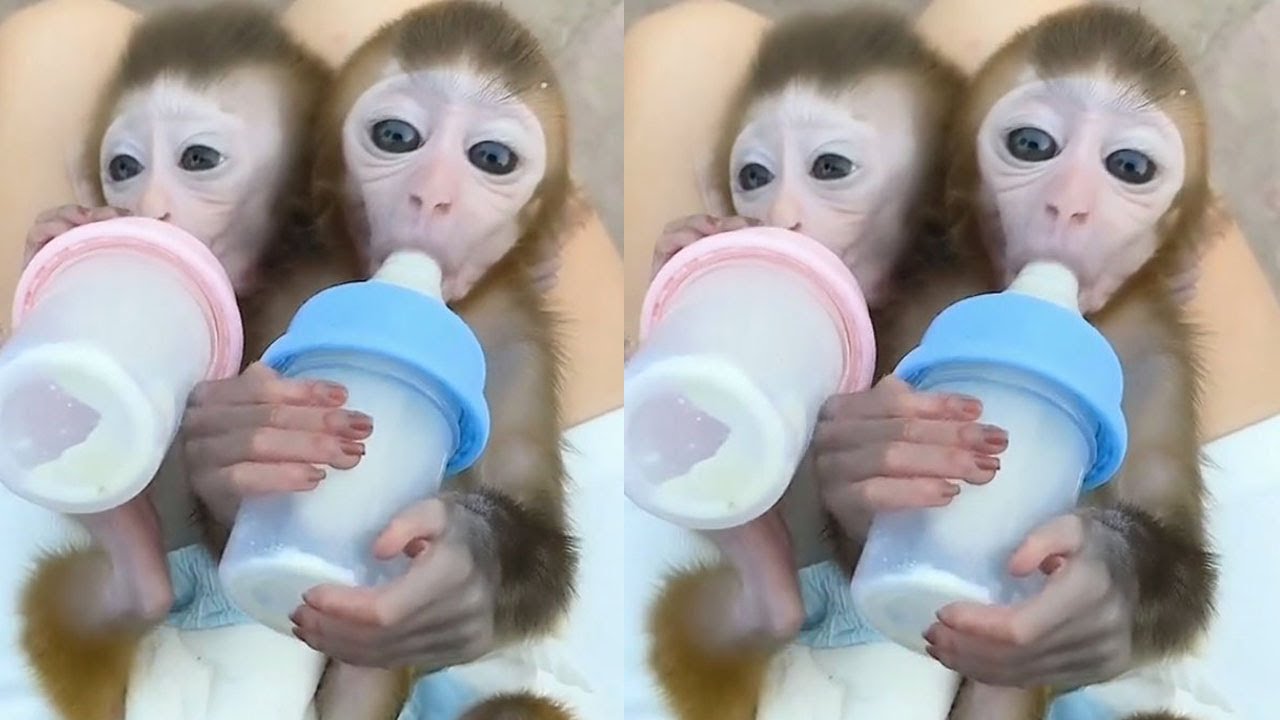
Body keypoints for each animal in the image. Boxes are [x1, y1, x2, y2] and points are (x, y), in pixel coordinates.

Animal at [863, 6, 1219, 719]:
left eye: (1129, 166)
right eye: (1032, 146)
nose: (1069, 205)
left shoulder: (1155, 354)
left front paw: (1100, 579)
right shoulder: (924, 310)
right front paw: (887, 445)